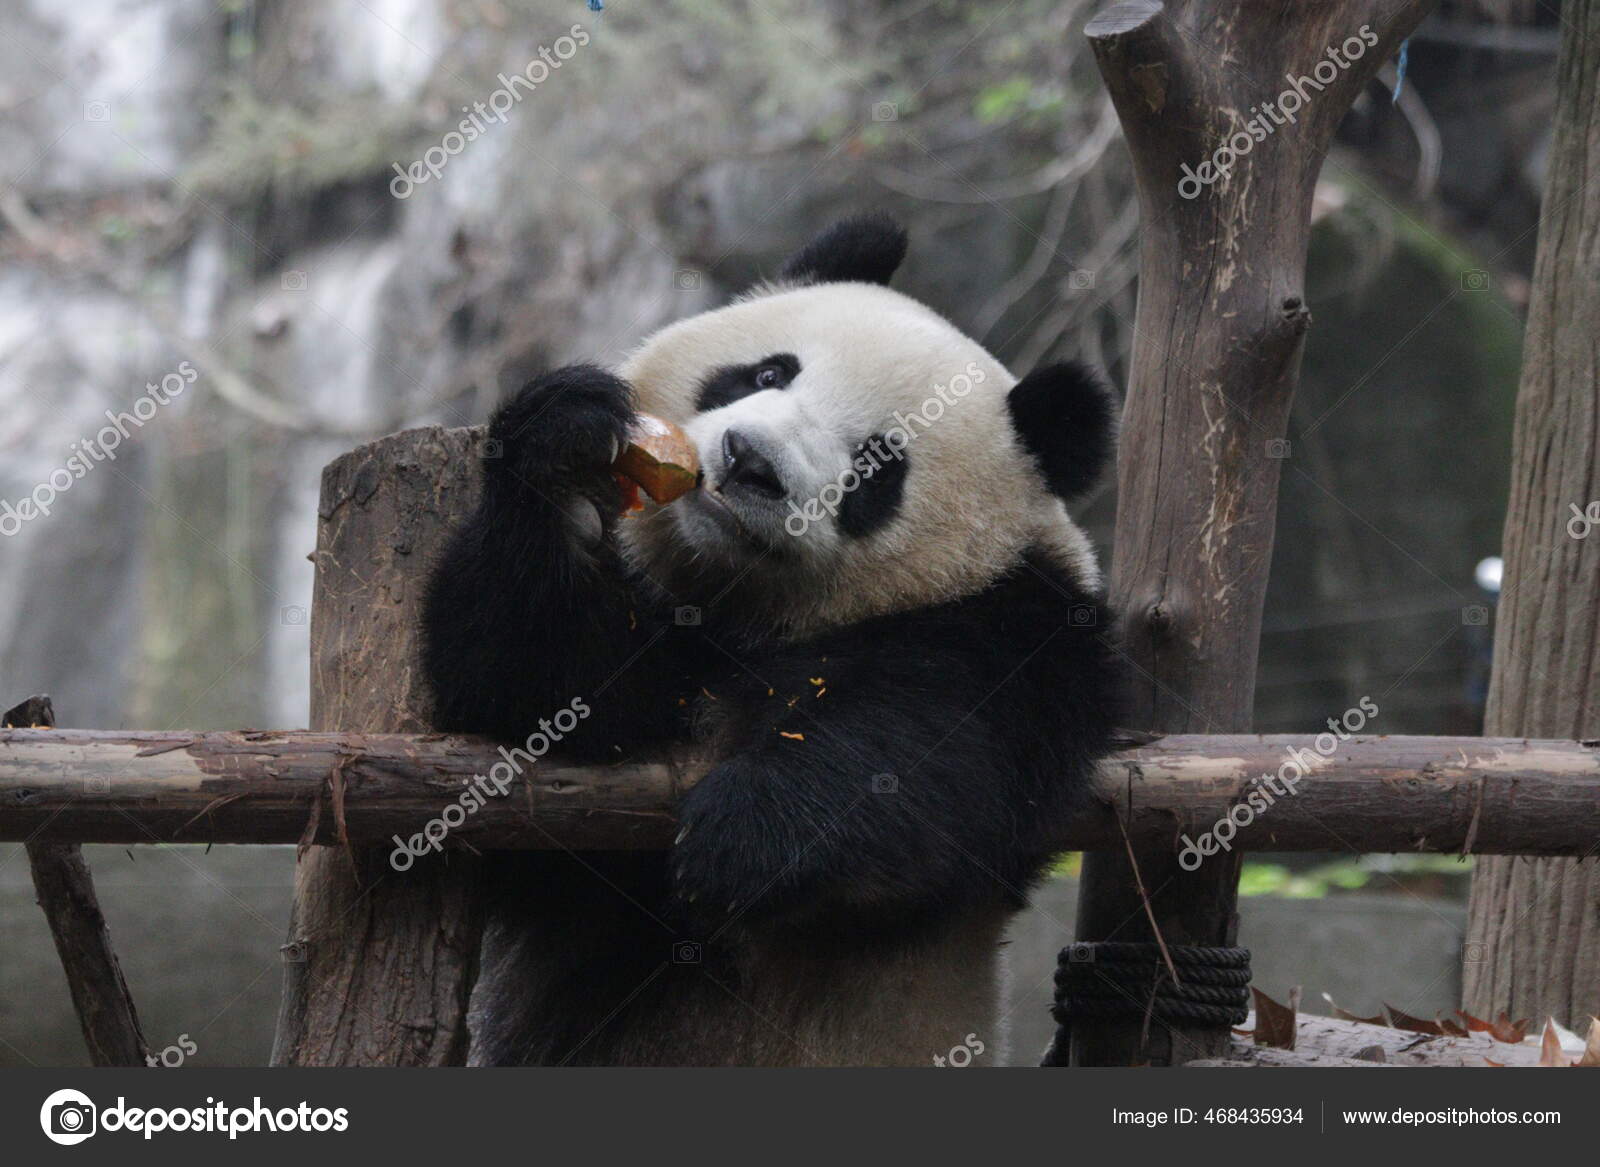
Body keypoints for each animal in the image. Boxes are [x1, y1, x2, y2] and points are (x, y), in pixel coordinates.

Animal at [421, 214, 1124, 1066]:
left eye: (877, 462)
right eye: (766, 373)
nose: (750, 461)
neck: (747, 606)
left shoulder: (1021, 629)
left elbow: (927, 744)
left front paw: (745, 836)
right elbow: (541, 690)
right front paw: (564, 445)